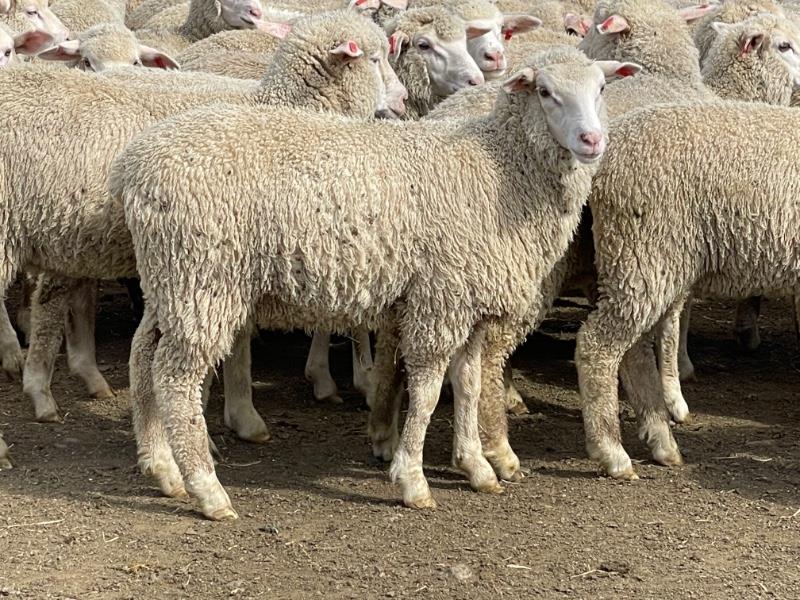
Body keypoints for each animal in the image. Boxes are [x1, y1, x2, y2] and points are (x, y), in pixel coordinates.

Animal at [1, 9, 403, 451]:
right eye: (376, 59)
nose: (402, 102)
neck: (280, 105)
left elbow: (237, 341)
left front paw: (239, 413)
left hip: (63, 230)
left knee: (51, 302)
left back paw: (48, 388)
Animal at [110, 46, 638, 519]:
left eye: (601, 88)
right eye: (546, 92)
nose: (592, 140)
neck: (498, 167)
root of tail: (133, 166)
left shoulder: (469, 303)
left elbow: (467, 384)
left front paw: (475, 466)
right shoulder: (440, 299)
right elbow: (428, 393)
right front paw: (413, 479)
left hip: (172, 280)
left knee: (141, 355)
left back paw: (161, 466)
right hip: (203, 279)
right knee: (174, 377)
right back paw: (207, 489)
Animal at [575, 101, 800, 480]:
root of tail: (612, 144)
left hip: (647, 262)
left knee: (634, 351)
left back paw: (661, 440)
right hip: (643, 249)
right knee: (597, 346)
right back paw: (612, 452)